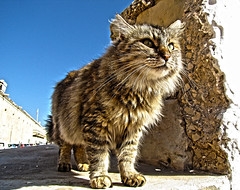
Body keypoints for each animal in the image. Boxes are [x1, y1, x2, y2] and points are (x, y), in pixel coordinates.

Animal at [47, 14, 186, 189]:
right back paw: (64, 164)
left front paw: (130, 175)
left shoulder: (133, 127)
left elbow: (127, 155)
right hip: (64, 126)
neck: (139, 89)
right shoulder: (96, 124)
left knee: (79, 146)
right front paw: (100, 177)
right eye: (147, 43)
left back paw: (83, 164)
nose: (167, 56)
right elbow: (99, 156)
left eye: (171, 46)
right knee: (65, 146)